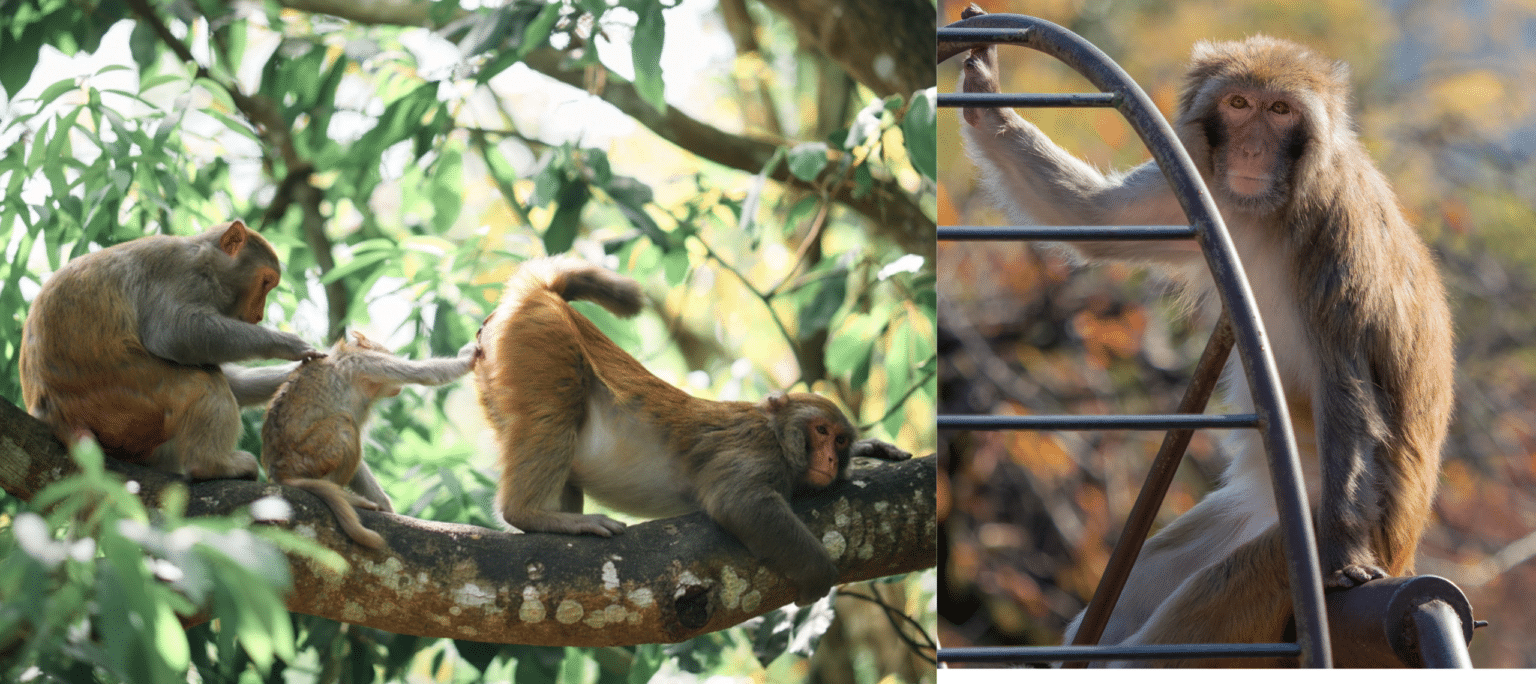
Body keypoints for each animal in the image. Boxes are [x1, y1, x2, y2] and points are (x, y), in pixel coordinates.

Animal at [19, 220, 323, 480]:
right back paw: (211, 465)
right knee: (201, 381)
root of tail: (54, 415)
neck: (207, 261)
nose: (258, 316)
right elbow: (173, 333)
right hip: (121, 398)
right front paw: (289, 344)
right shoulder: (181, 272)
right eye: (266, 281)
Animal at [261, 331, 480, 549]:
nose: (398, 388)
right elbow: (427, 373)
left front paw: (386, 507)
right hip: (307, 456)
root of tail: (279, 470)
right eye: (388, 352)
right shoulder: (367, 362)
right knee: (344, 424)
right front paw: (467, 356)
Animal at [475, 256, 911, 605]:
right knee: (555, 414)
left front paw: (870, 450)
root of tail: (543, 295)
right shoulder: (753, 453)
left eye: (840, 439)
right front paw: (819, 576)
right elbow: (741, 502)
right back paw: (533, 514)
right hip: (542, 337)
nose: (832, 457)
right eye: (820, 431)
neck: (775, 434)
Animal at [956, 10, 1454, 667]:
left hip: (1292, 549)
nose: (1252, 147)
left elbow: (1347, 391)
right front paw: (987, 97)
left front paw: (1347, 560)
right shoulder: (1207, 189)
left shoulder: (1336, 231)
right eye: (1240, 104)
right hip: (1239, 516)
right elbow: (1097, 221)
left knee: (1220, 594)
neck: (1269, 208)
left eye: (1280, 112)